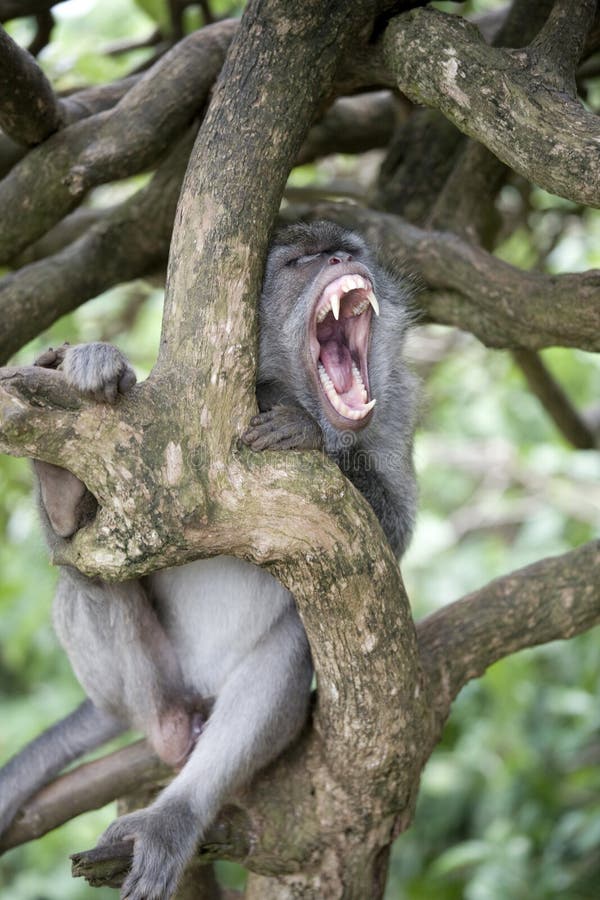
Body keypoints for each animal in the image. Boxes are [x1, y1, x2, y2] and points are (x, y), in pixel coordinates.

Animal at [0, 221, 417, 900]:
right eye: (302, 262)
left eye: (349, 251)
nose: (339, 259)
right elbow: (110, 538)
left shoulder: (399, 400)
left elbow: (393, 537)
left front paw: (303, 430)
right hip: (152, 678)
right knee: (87, 573)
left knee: (290, 645)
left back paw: (176, 813)